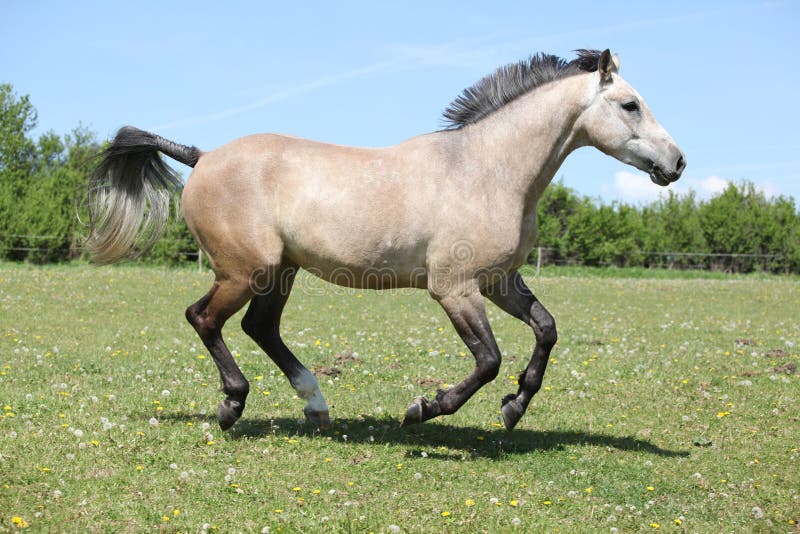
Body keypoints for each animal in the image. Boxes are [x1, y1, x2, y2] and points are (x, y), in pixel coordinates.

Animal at [86, 49, 685, 432]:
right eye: (630, 104)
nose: (677, 162)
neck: (485, 170)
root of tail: (203, 156)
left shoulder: (499, 282)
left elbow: (546, 330)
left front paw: (514, 407)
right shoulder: (454, 289)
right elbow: (488, 359)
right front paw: (425, 408)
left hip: (281, 271)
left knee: (261, 328)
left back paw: (316, 405)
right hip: (245, 270)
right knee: (205, 318)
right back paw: (233, 406)